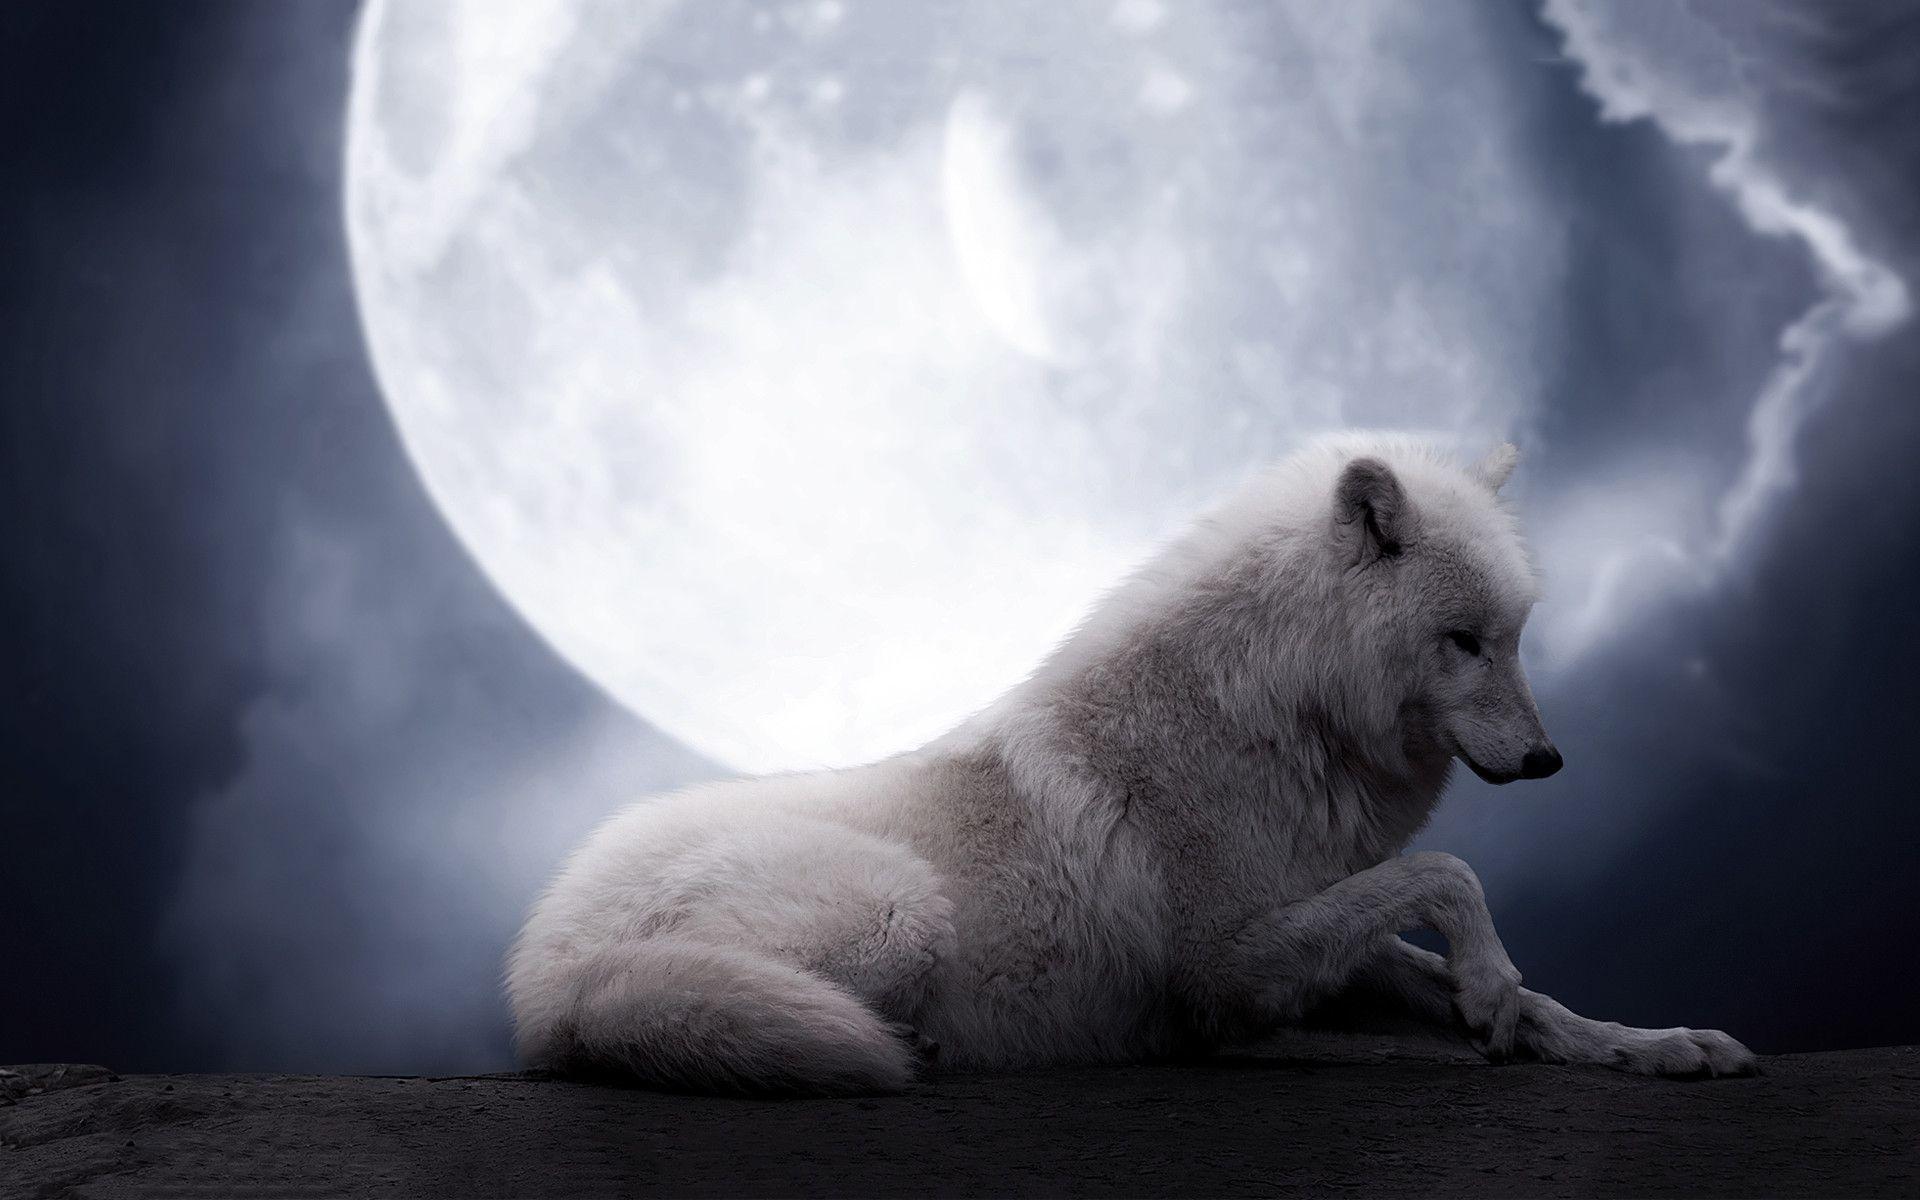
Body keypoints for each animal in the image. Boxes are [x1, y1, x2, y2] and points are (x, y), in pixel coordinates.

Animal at [506, 434, 1756, 1094]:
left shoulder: (1310, 930)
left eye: (1517, 636)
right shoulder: (1228, 963)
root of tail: (544, 967)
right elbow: (1449, 875)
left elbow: (1509, 983)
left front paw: (1647, 1043)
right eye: (1464, 641)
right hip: (902, 911)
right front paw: (1490, 988)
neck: (1277, 715)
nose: (1549, 760)